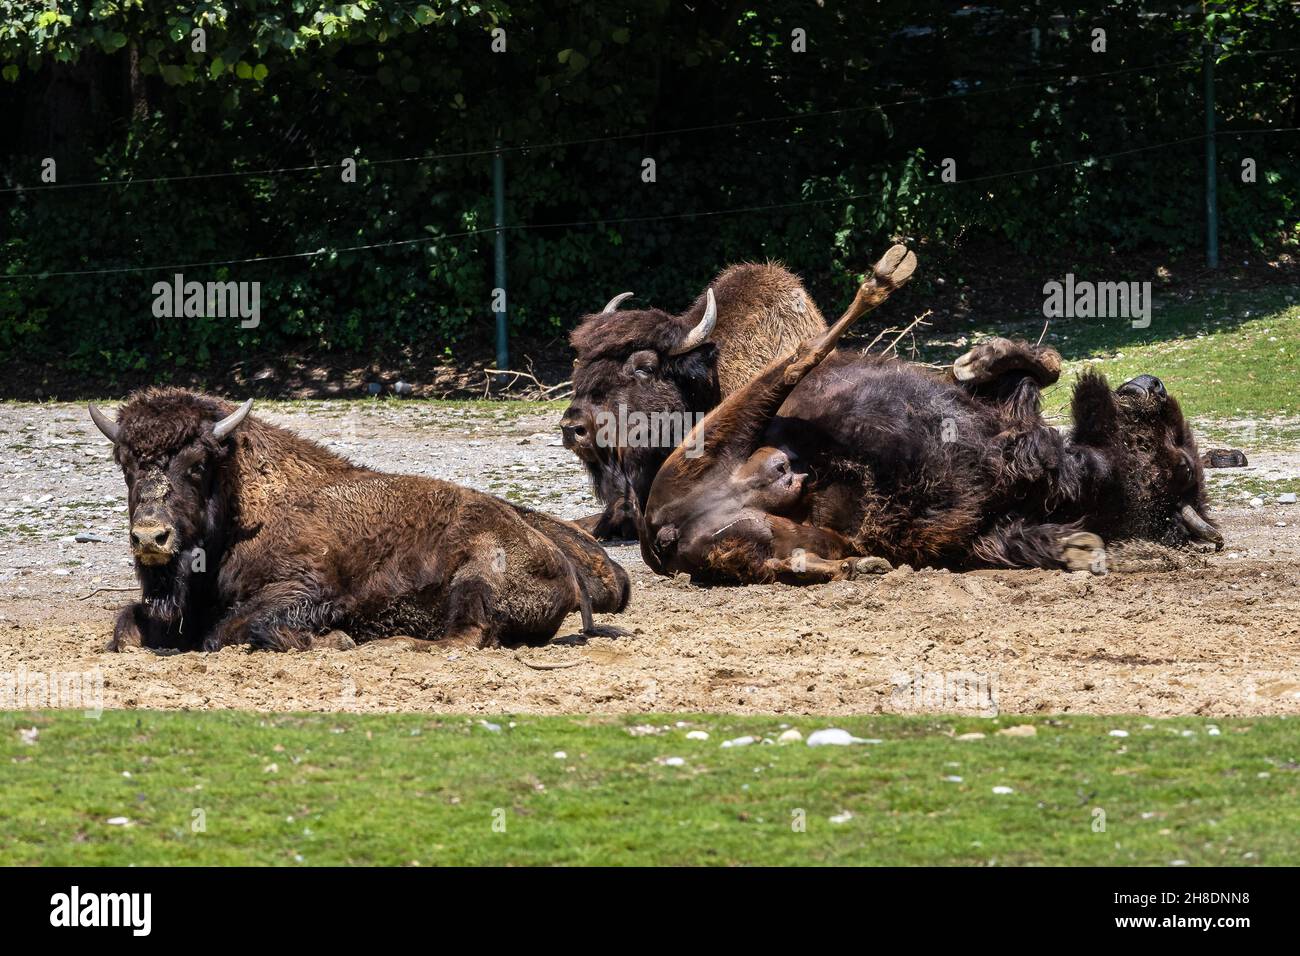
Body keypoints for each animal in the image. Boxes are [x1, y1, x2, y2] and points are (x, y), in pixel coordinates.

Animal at [89, 388, 629, 651]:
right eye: (125, 464)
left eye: (197, 465)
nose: (150, 537)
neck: (247, 502)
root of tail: (562, 566)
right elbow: (127, 629)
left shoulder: (304, 589)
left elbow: (231, 630)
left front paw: (335, 640)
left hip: (475, 576)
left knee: (466, 637)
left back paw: (396, 646)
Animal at [640, 245, 1221, 583]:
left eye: (1180, 461)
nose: (1151, 385)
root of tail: (660, 531)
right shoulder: (991, 407)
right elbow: (1042, 364)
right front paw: (976, 358)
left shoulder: (981, 527)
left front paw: (1083, 548)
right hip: (718, 434)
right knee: (806, 354)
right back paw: (889, 272)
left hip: (753, 535)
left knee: (788, 559)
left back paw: (865, 564)